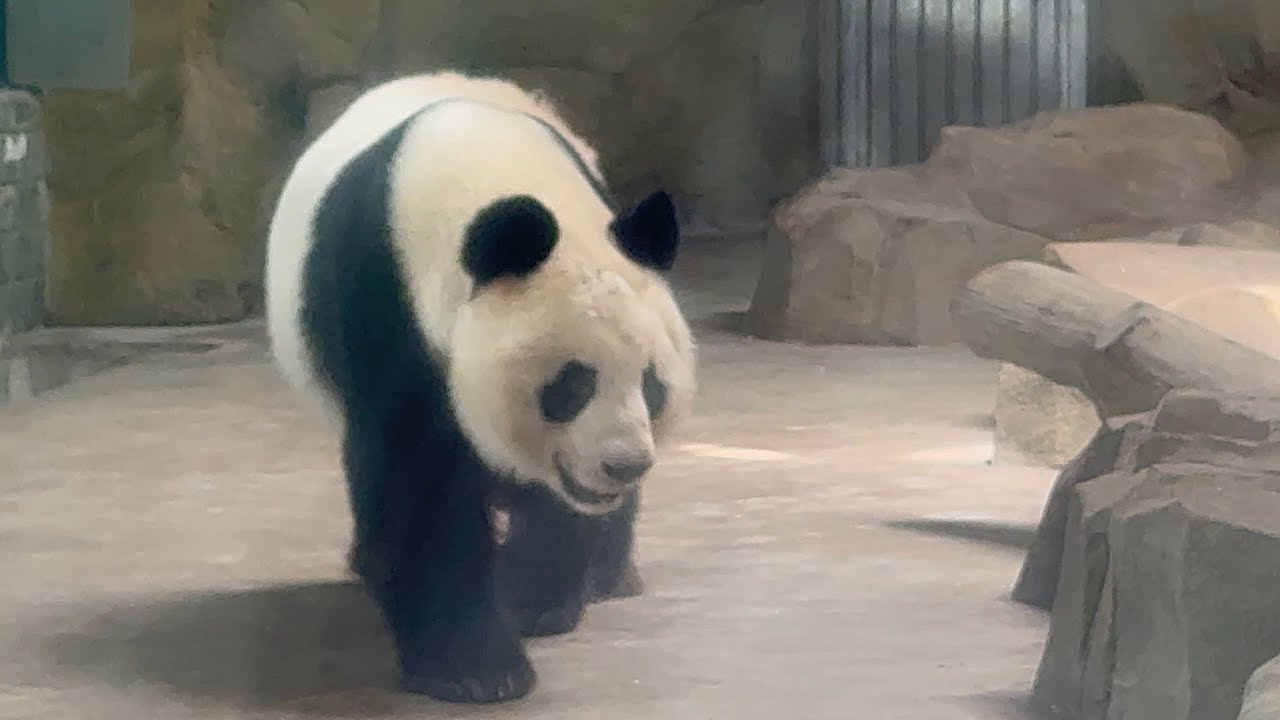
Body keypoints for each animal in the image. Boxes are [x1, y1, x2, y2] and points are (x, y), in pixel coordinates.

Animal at [263, 70, 697, 705]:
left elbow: (553, 500)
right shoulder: (382, 303)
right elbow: (417, 480)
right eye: (571, 385)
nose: (624, 465)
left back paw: (611, 575)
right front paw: (475, 669)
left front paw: (534, 603)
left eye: (651, 383)